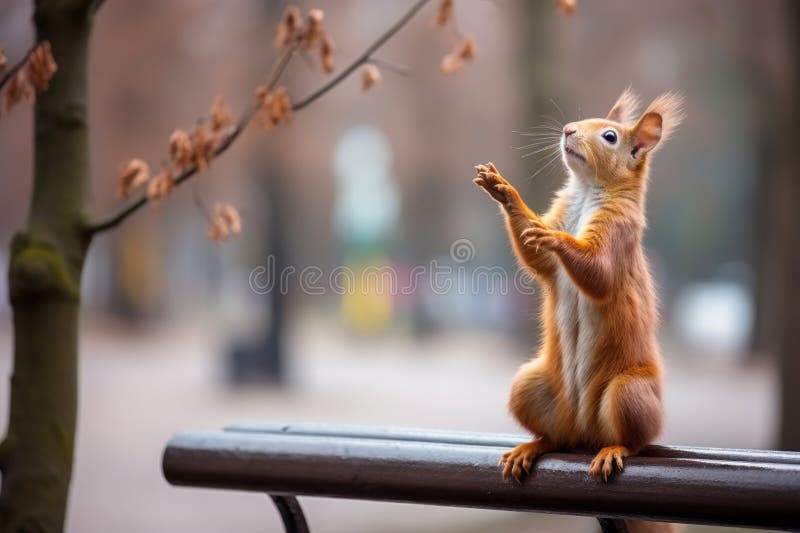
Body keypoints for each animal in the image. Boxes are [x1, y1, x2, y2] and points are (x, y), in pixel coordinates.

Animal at [473, 89, 683, 484]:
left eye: (610, 136)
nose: (568, 129)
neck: (587, 191)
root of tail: (586, 433)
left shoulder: (618, 232)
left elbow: (598, 273)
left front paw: (553, 237)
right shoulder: (561, 219)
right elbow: (536, 258)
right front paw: (502, 189)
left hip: (628, 392)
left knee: (634, 441)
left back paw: (614, 450)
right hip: (530, 387)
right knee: (557, 439)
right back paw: (531, 447)